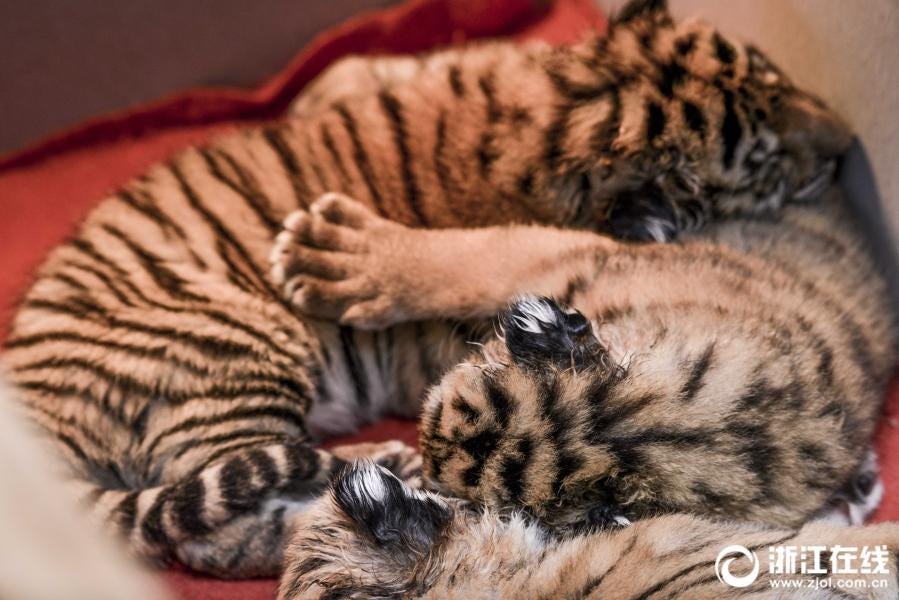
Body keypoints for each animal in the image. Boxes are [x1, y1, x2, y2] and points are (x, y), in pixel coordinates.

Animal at [0, 0, 858, 578]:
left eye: (775, 74)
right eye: (761, 159)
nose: (849, 144)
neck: (556, 105)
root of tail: (34, 415)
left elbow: (338, 74)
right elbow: (487, 252)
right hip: (233, 345)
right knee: (224, 530)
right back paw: (386, 474)